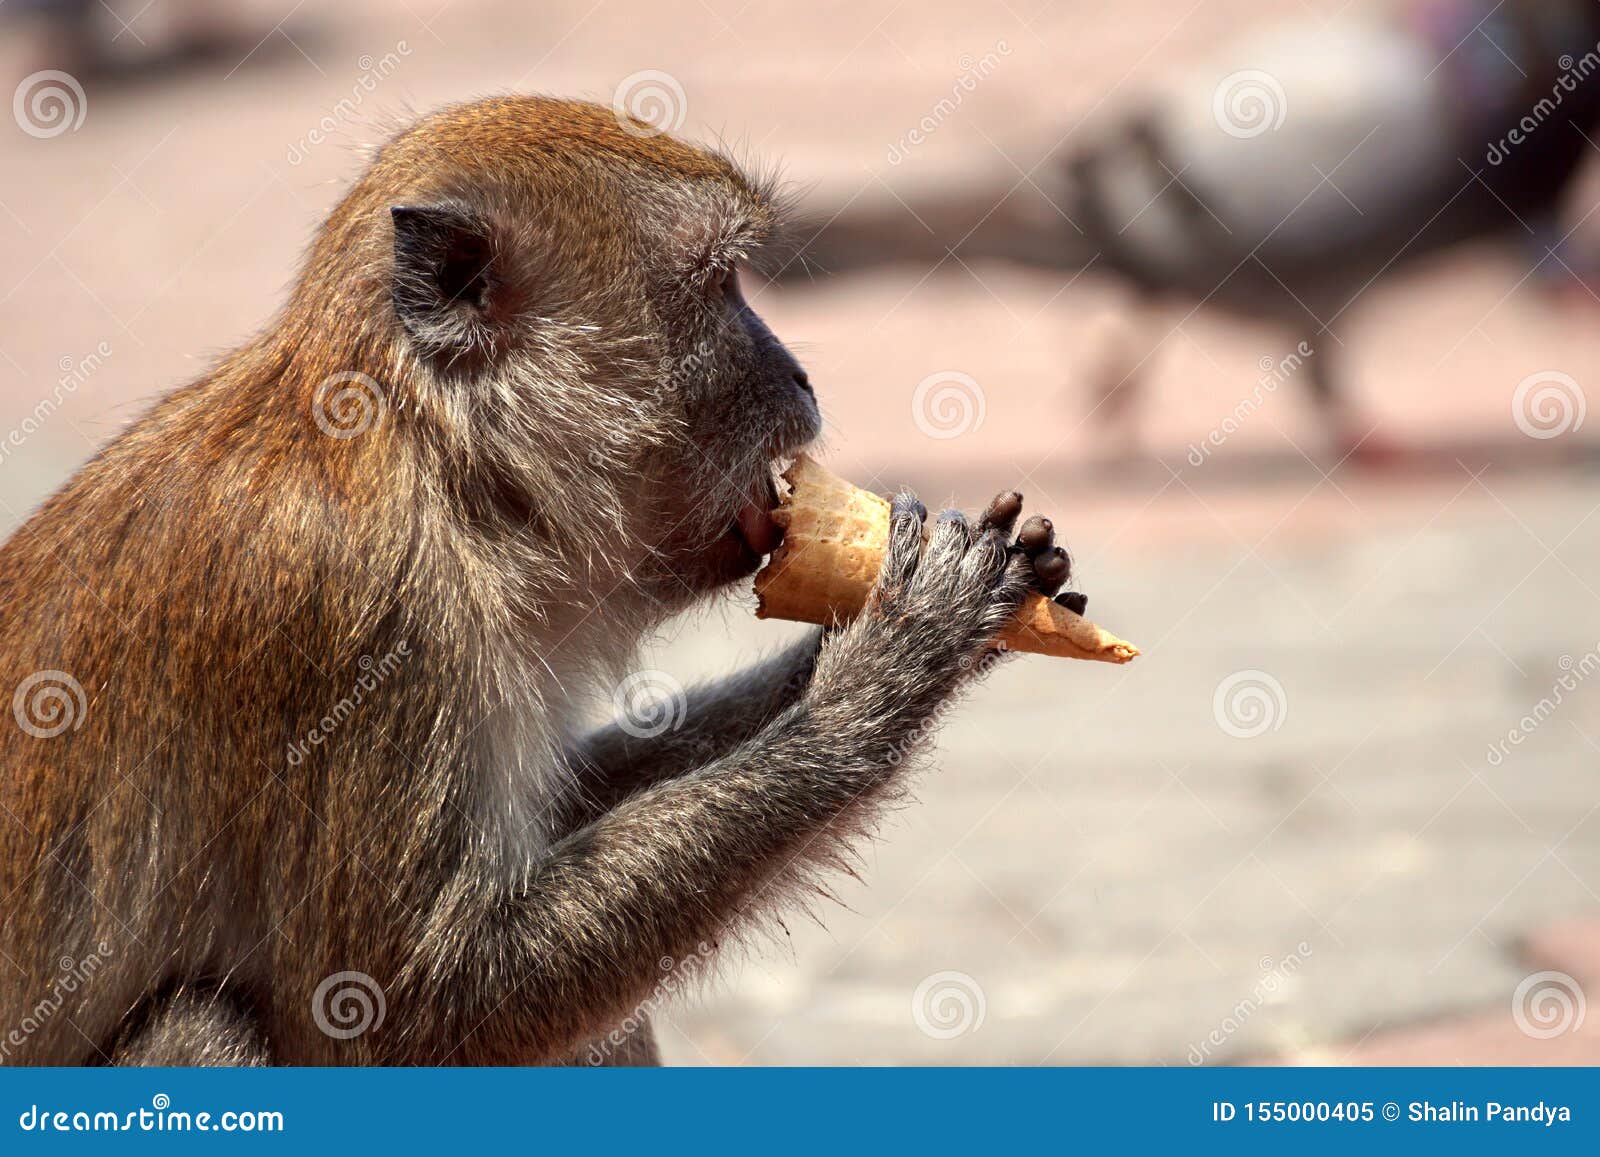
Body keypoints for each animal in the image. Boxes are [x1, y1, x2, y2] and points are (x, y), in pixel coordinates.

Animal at [0, 96, 1075, 1066]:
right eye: (720, 283)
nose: (803, 376)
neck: (440, 461)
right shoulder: (349, 602)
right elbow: (405, 1006)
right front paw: (891, 663)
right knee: (208, 1025)